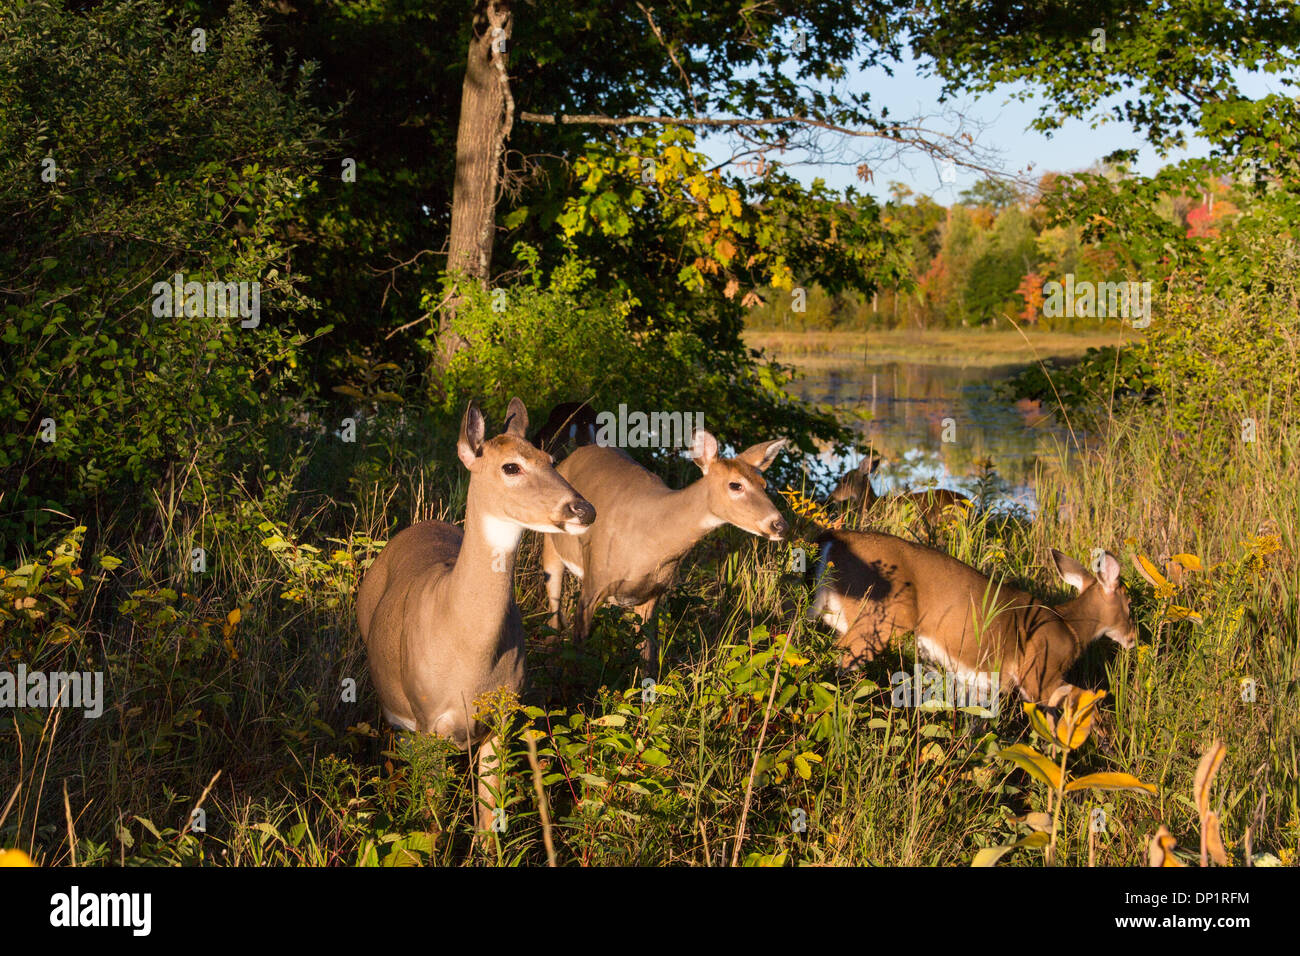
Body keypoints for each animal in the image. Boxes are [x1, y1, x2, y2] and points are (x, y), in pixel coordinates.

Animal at [356, 398, 596, 829]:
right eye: (511, 467)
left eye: (551, 459)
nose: (583, 509)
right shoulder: (429, 722)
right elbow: (433, 820)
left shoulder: (501, 721)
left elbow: (488, 821)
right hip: (394, 709)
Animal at [541, 429, 789, 670]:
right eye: (735, 484)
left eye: (764, 485)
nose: (780, 525)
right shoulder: (594, 583)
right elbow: (578, 654)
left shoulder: (651, 596)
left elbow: (647, 659)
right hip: (551, 547)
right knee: (553, 613)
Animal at [808, 529, 1136, 711]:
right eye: (1129, 602)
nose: (1133, 638)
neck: (1070, 626)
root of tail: (831, 539)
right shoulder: (1039, 674)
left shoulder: (980, 681)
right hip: (879, 619)